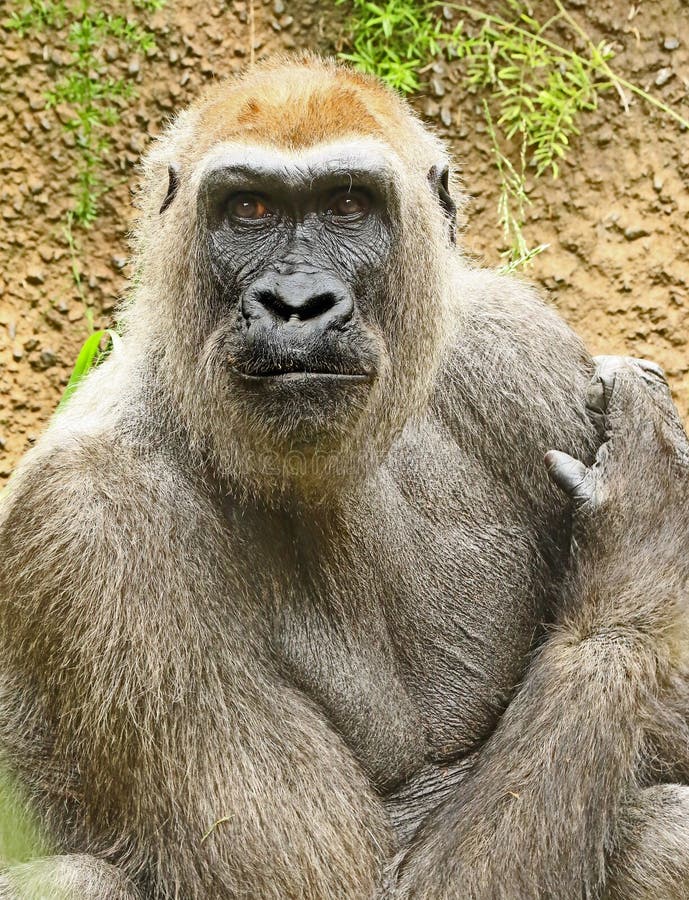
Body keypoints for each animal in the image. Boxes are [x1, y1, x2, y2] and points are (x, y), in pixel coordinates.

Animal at [0, 54, 688, 899]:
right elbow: (332, 878)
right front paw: (640, 528)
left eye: (348, 205)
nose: (297, 303)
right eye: (249, 209)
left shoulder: (524, 351)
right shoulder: (92, 522)